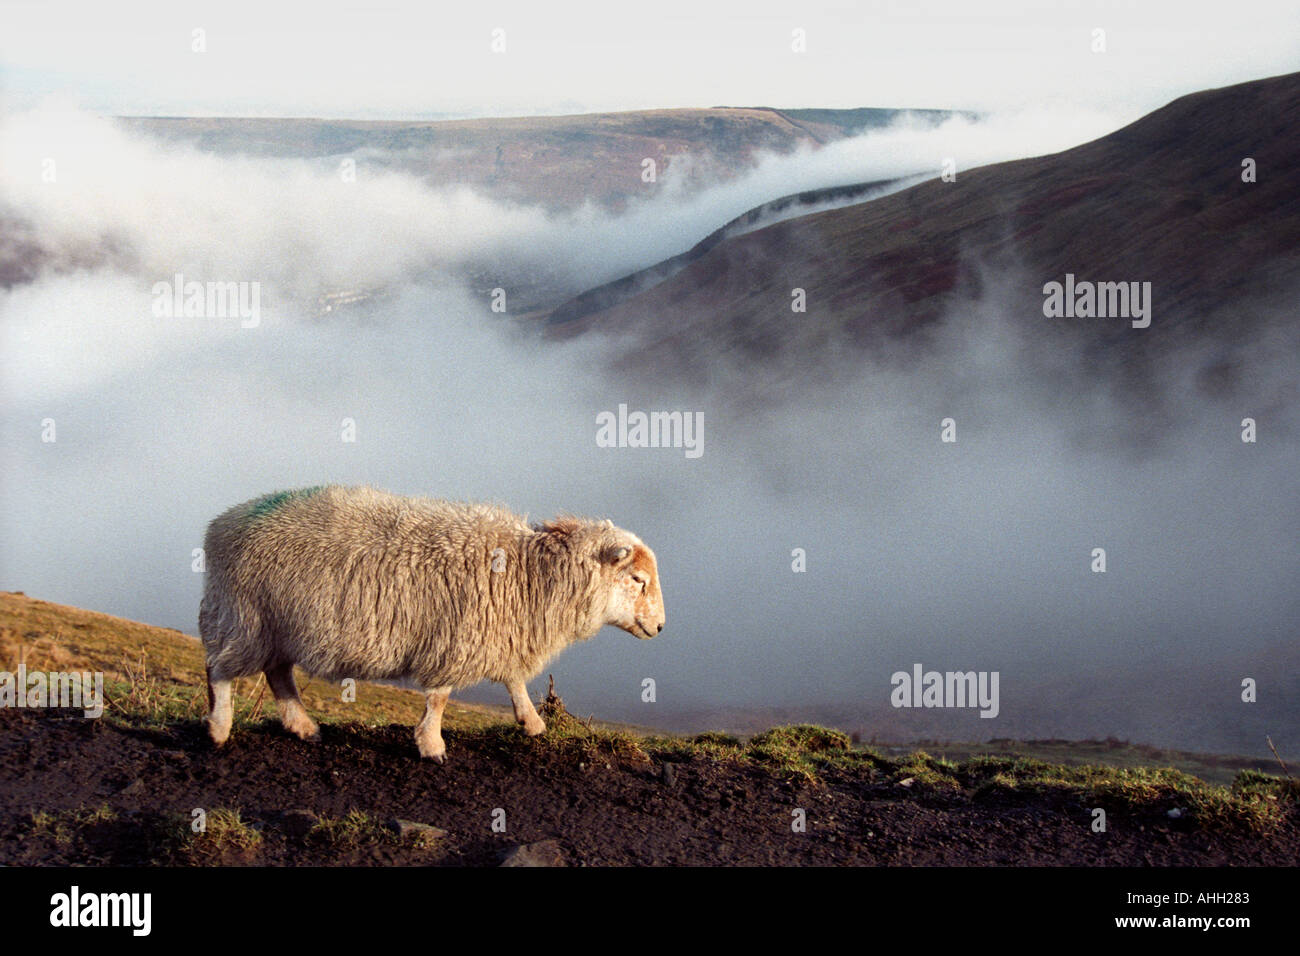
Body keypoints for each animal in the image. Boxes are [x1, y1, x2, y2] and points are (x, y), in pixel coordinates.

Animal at [197, 485, 665, 761]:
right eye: (637, 580)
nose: (661, 628)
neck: (529, 572)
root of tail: (219, 524)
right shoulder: (454, 638)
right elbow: (439, 698)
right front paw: (432, 745)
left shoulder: (499, 631)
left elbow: (513, 679)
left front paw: (531, 723)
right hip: (245, 617)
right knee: (219, 669)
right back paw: (219, 729)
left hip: (276, 627)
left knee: (278, 674)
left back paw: (303, 726)